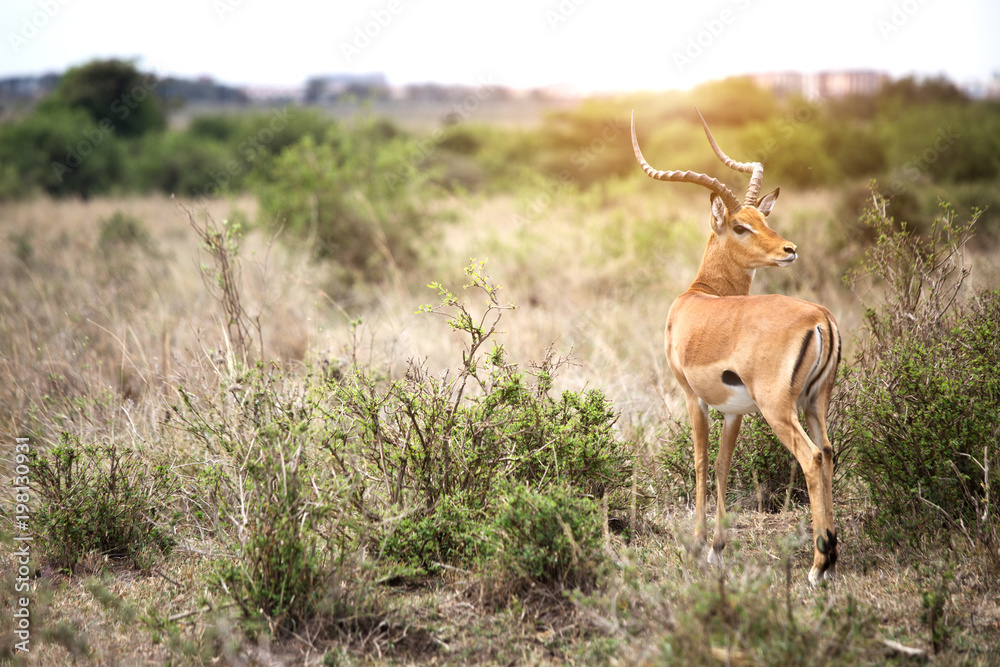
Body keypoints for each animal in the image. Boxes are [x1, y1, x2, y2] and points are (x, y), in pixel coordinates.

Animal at [631, 110, 841, 584]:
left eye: (761, 220)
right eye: (742, 225)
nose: (789, 249)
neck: (699, 297)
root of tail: (819, 317)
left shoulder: (692, 397)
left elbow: (699, 461)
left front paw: (696, 546)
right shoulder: (734, 410)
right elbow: (723, 465)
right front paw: (716, 547)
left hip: (779, 408)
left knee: (810, 458)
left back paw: (817, 566)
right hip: (814, 402)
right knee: (828, 452)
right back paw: (832, 554)